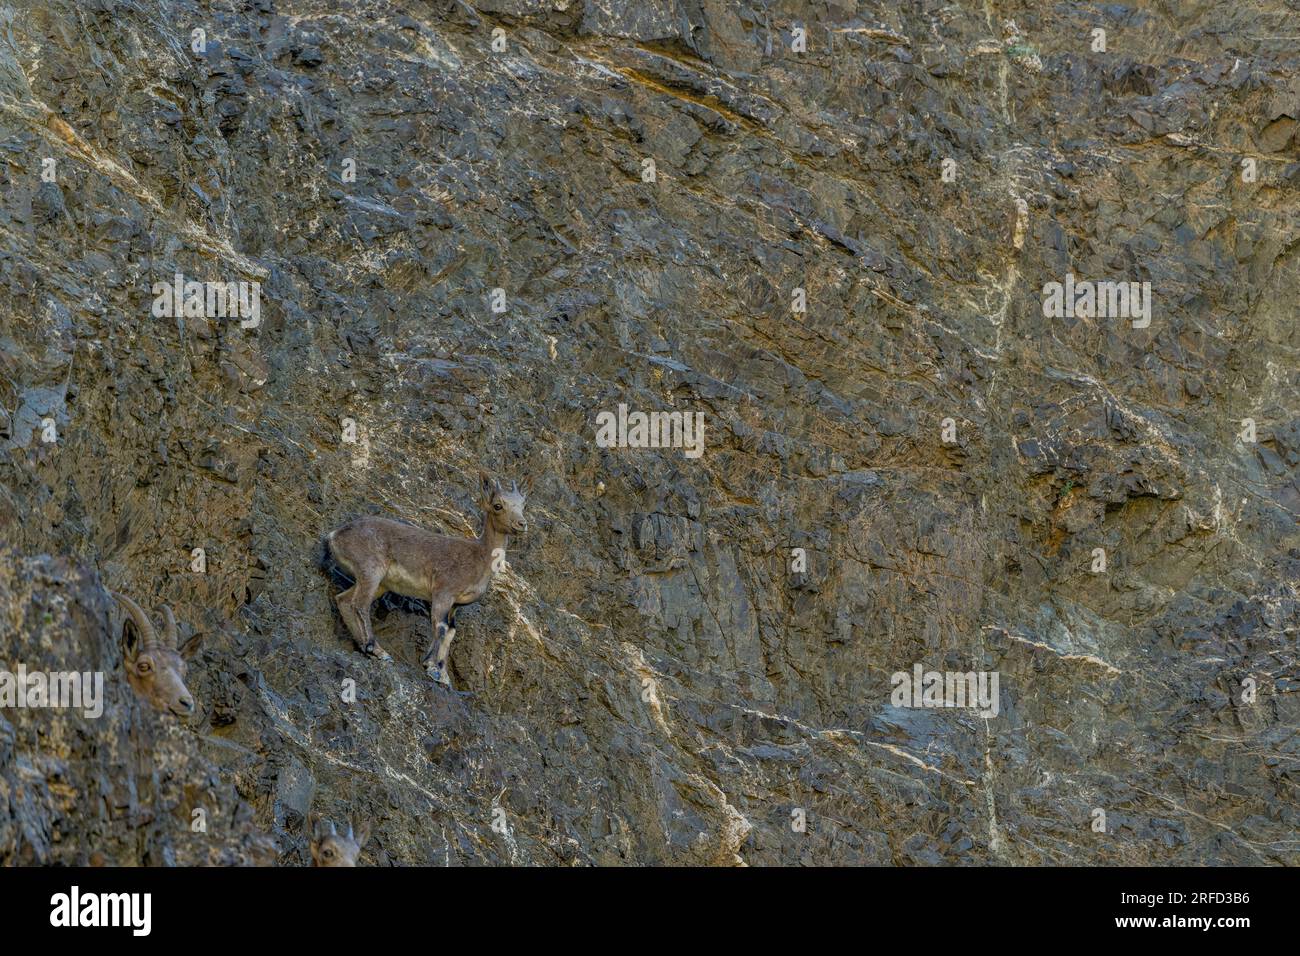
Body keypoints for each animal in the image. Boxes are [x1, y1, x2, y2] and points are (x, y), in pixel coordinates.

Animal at [324, 471, 531, 689]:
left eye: (523, 505)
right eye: (498, 505)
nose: (521, 524)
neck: (480, 558)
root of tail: (334, 536)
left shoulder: (456, 605)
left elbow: (451, 632)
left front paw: (443, 674)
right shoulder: (443, 592)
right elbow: (440, 627)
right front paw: (430, 666)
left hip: (379, 583)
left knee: (344, 600)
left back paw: (364, 646)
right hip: (371, 571)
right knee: (360, 604)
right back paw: (378, 650)